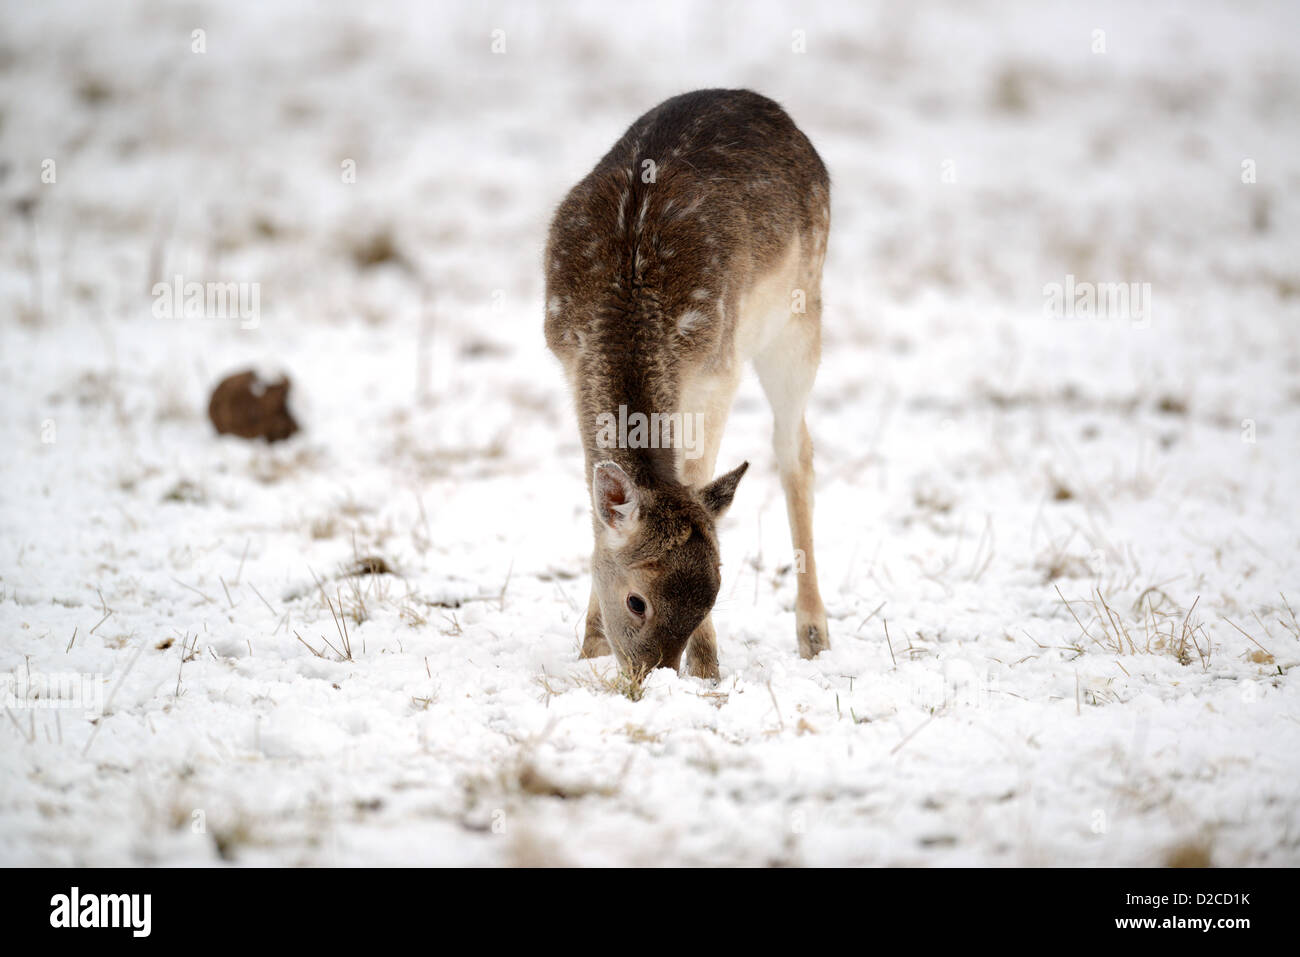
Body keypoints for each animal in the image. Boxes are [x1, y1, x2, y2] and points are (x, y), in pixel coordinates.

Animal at [545, 89, 831, 681]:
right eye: (636, 601)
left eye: (713, 596)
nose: (648, 677)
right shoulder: (566, 355)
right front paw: (591, 648)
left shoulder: (718, 366)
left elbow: (695, 476)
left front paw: (707, 666)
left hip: (801, 311)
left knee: (796, 449)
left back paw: (815, 637)